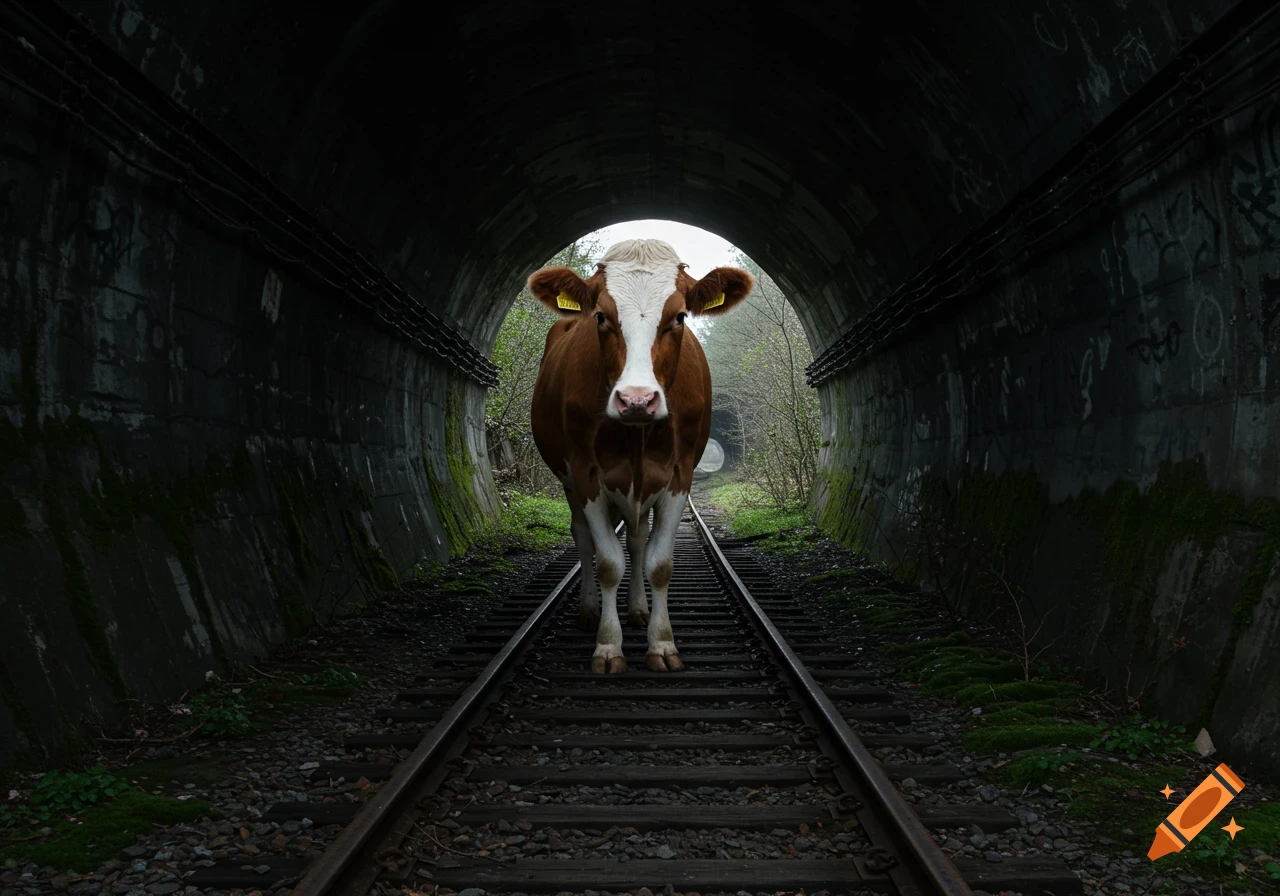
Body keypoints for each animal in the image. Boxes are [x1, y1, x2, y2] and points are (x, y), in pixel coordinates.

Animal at [527, 239, 754, 673]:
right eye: (600, 316)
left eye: (680, 316)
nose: (636, 400)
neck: (637, 436)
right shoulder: (586, 475)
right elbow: (608, 563)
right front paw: (608, 646)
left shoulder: (679, 476)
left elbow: (658, 563)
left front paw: (662, 643)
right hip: (569, 481)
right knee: (584, 539)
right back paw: (589, 610)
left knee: (635, 540)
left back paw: (637, 610)